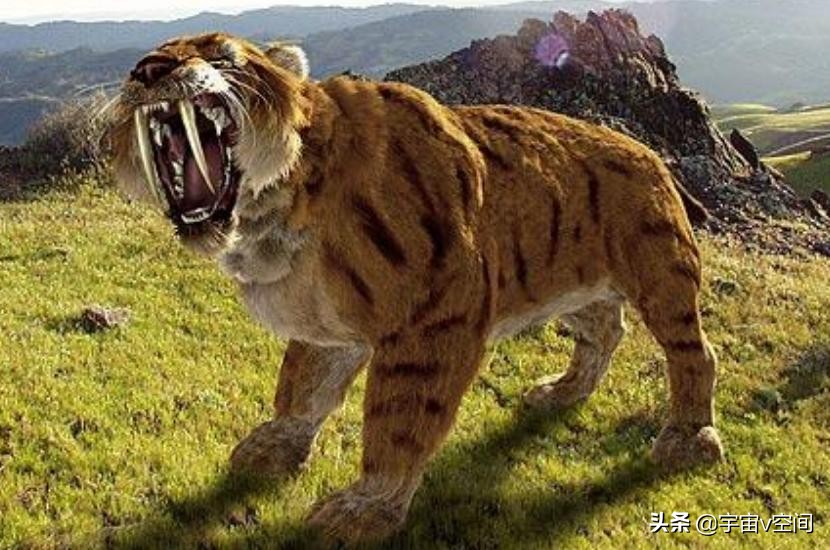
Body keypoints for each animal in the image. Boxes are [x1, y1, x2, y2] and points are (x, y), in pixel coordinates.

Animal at [110, 33, 723, 543]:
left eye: (223, 56)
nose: (146, 69)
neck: (276, 212)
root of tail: (650, 154)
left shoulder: (431, 323)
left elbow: (397, 422)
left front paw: (365, 508)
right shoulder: (330, 324)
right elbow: (301, 386)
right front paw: (275, 445)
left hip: (660, 272)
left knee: (695, 353)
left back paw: (688, 439)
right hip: (565, 286)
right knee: (605, 330)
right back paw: (562, 393)